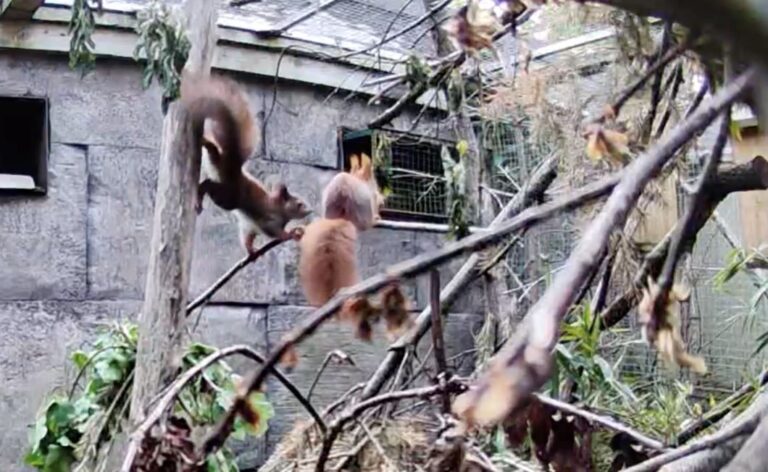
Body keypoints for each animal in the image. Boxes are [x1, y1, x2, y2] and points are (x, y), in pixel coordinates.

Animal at [179, 71, 311, 253]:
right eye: (299, 204)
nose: (310, 210)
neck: (280, 209)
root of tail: (232, 168)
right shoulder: (270, 221)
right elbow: (274, 232)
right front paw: (290, 234)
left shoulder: (251, 227)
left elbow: (248, 237)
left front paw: (252, 251)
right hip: (227, 198)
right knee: (207, 184)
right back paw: (199, 194)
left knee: (212, 153)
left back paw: (206, 142)